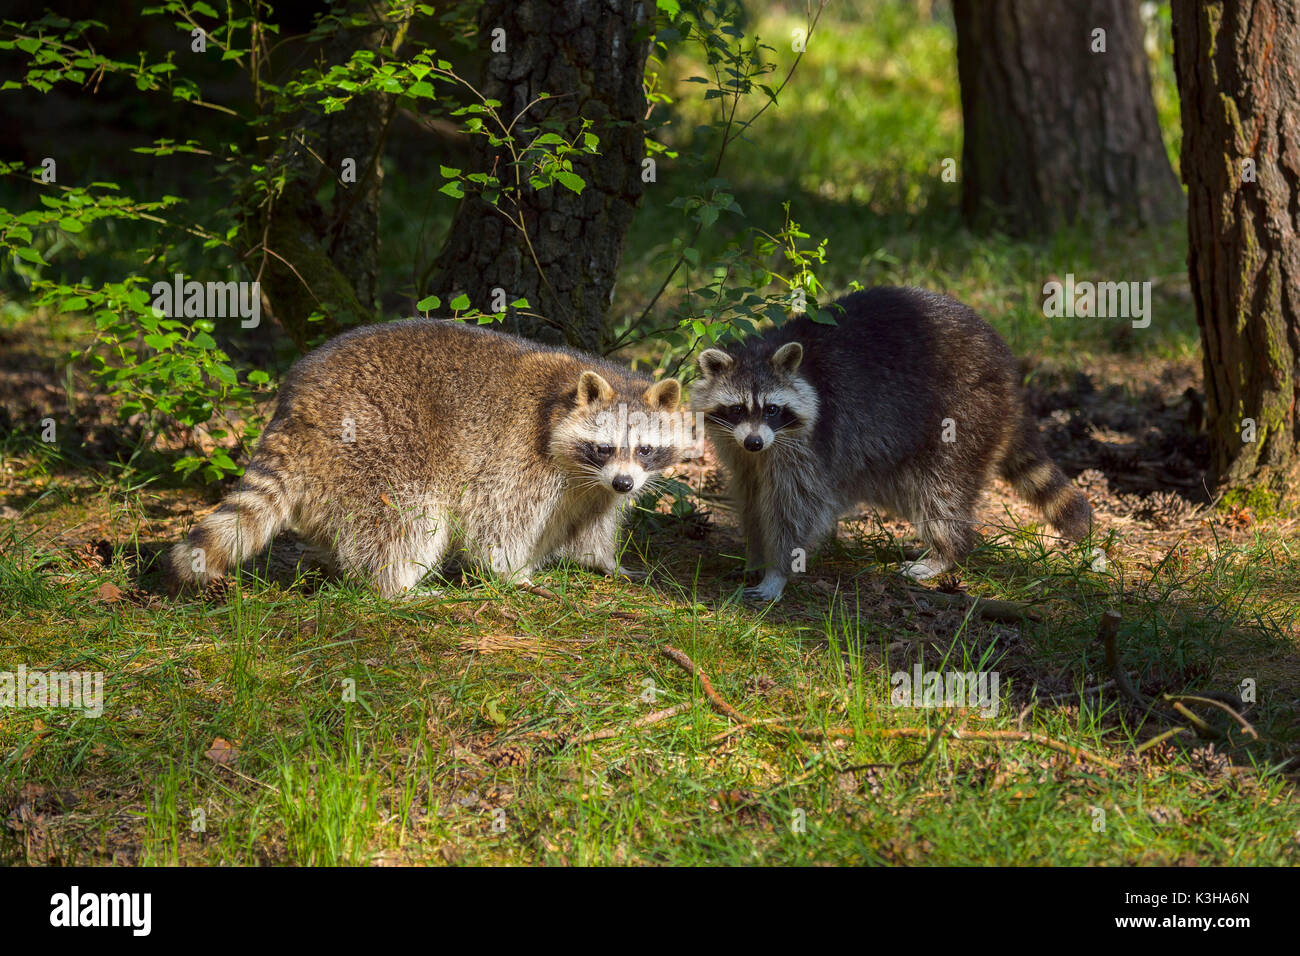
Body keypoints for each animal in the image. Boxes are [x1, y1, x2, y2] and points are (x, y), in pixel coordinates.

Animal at [166, 319, 683, 597]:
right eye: (603, 447)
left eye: (645, 449)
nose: (624, 484)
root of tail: (294, 407)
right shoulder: (518, 457)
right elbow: (497, 524)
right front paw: (513, 573)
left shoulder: (594, 489)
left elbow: (592, 524)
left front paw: (604, 562)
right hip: (374, 440)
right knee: (407, 516)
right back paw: (395, 586)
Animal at [692, 286, 1091, 602]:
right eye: (737, 409)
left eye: (772, 409)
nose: (755, 441)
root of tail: (1010, 375)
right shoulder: (741, 452)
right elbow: (751, 497)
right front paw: (755, 555)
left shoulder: (810, 446)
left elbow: (796, 507)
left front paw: (778, 570)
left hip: (964, 415)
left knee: (940, 492)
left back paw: (947, 550)